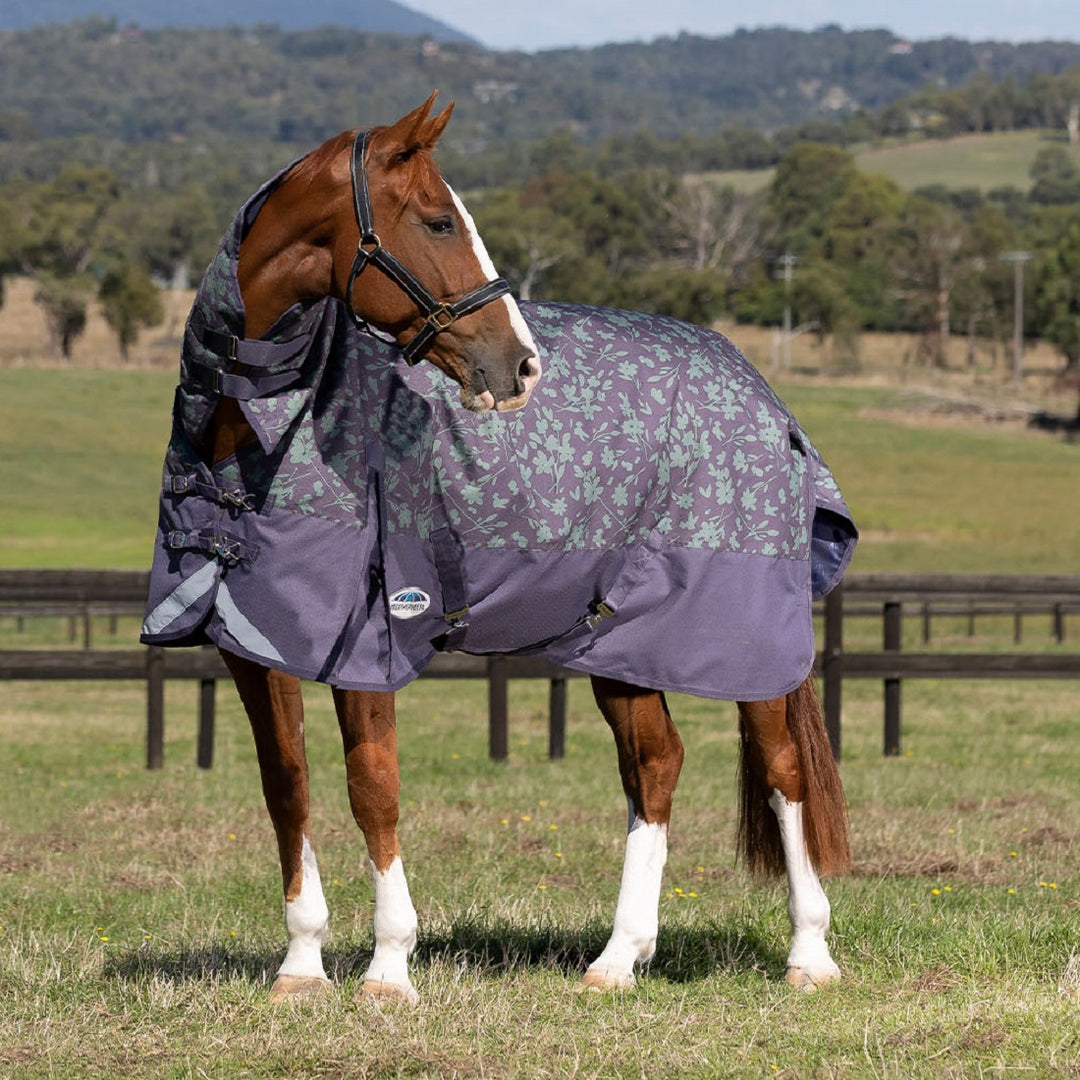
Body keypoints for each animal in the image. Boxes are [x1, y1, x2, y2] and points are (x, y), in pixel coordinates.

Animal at [142, 95, 855, 1005]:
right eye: (439, 221)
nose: (519, 365)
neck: (260, 436)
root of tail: (764, 397)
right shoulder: (253, 642)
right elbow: (287, 787)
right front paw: (302, 967)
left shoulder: (370, 638)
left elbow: (373, 789)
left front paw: (389, 968)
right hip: (622, 639)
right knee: (655, 765)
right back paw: (618, 959)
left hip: (741, 637)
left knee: (782, 771)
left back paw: (810, 955)